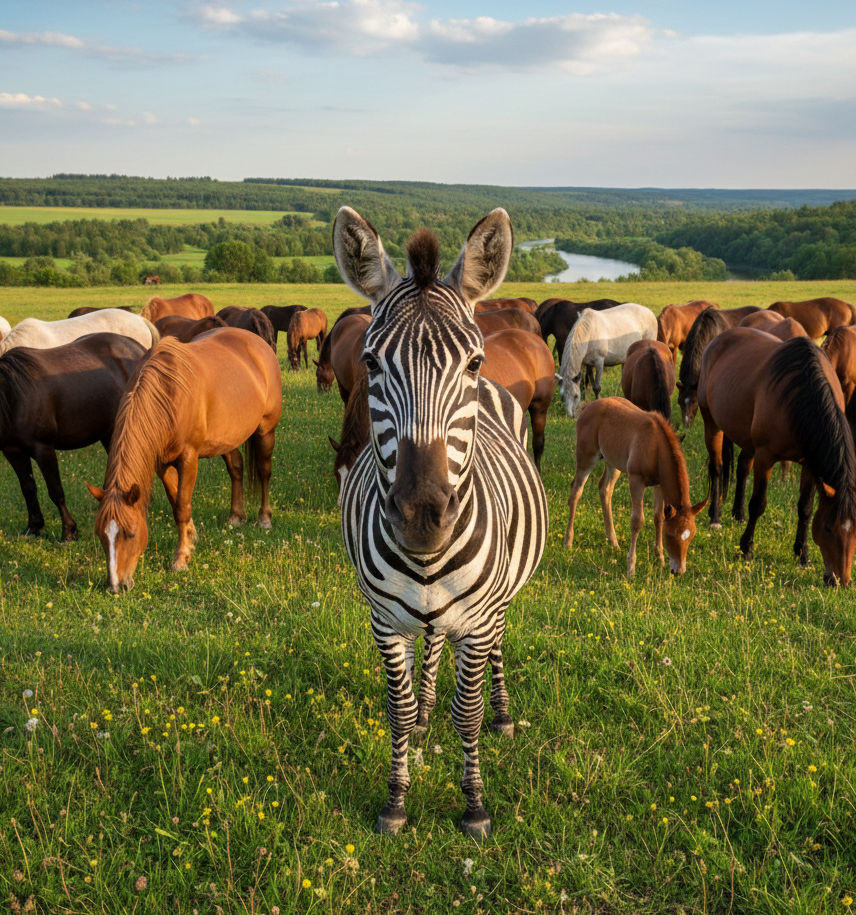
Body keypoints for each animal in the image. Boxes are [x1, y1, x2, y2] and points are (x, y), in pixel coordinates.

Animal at [0, 333, 147, 541]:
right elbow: (28, 489)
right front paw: (33, 527)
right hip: (109, 433)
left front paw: (69, 531)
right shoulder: (13, 452)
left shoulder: (43, 449)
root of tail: (139, 347)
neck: (13, 396)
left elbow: (55, 491)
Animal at [86, 329, 282, 592]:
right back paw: (236, 516)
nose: (117, 586)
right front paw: (190, 537)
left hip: (266, 430)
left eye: (131, 534)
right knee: (236, 468)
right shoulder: (161, 463)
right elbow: (175, 501)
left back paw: (264, 518)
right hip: (227, 438)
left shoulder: (189, 459)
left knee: (264, 471)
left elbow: (181, 506)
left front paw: (180, 558)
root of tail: (258, 342)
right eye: (100, 535)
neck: (167, 394)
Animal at [333, 206, 548, 838]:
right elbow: (398, 711)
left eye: (472, 362)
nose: (423, 516)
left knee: (496, 646)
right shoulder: (383, 621)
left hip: (497, 602)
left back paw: (503, 712)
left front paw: (473, 802)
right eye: (370, 362)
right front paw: (397, 798)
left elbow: (467, 713)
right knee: (430, 649)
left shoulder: (474, 622)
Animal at [564, 397, 706, 576]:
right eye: (671, 535)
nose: (678, 571)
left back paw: (613, 542)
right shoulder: (636, 480)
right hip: (587, 457)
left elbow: (658, 517)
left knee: (605, 489)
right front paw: (631, 567)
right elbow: (637, 521)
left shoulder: (660, 485)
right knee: (576, 492)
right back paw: (568, 541)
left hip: (613, 461)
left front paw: (660, 558)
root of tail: (588, 406)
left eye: (691, 536)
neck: (656, 447)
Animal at [698, 329, 856, 583]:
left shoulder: (809, 464)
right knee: (717, 468)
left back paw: (738, 515)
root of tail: (719, 338)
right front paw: (746, 549)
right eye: (828, 528)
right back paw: (715, 517)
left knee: (742, 468)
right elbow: (758, 504)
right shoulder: (766, 457)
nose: (839, 581)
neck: (799, 399)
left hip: (746, 438)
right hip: (711, 423)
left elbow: (805, 508)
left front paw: (803, 554)